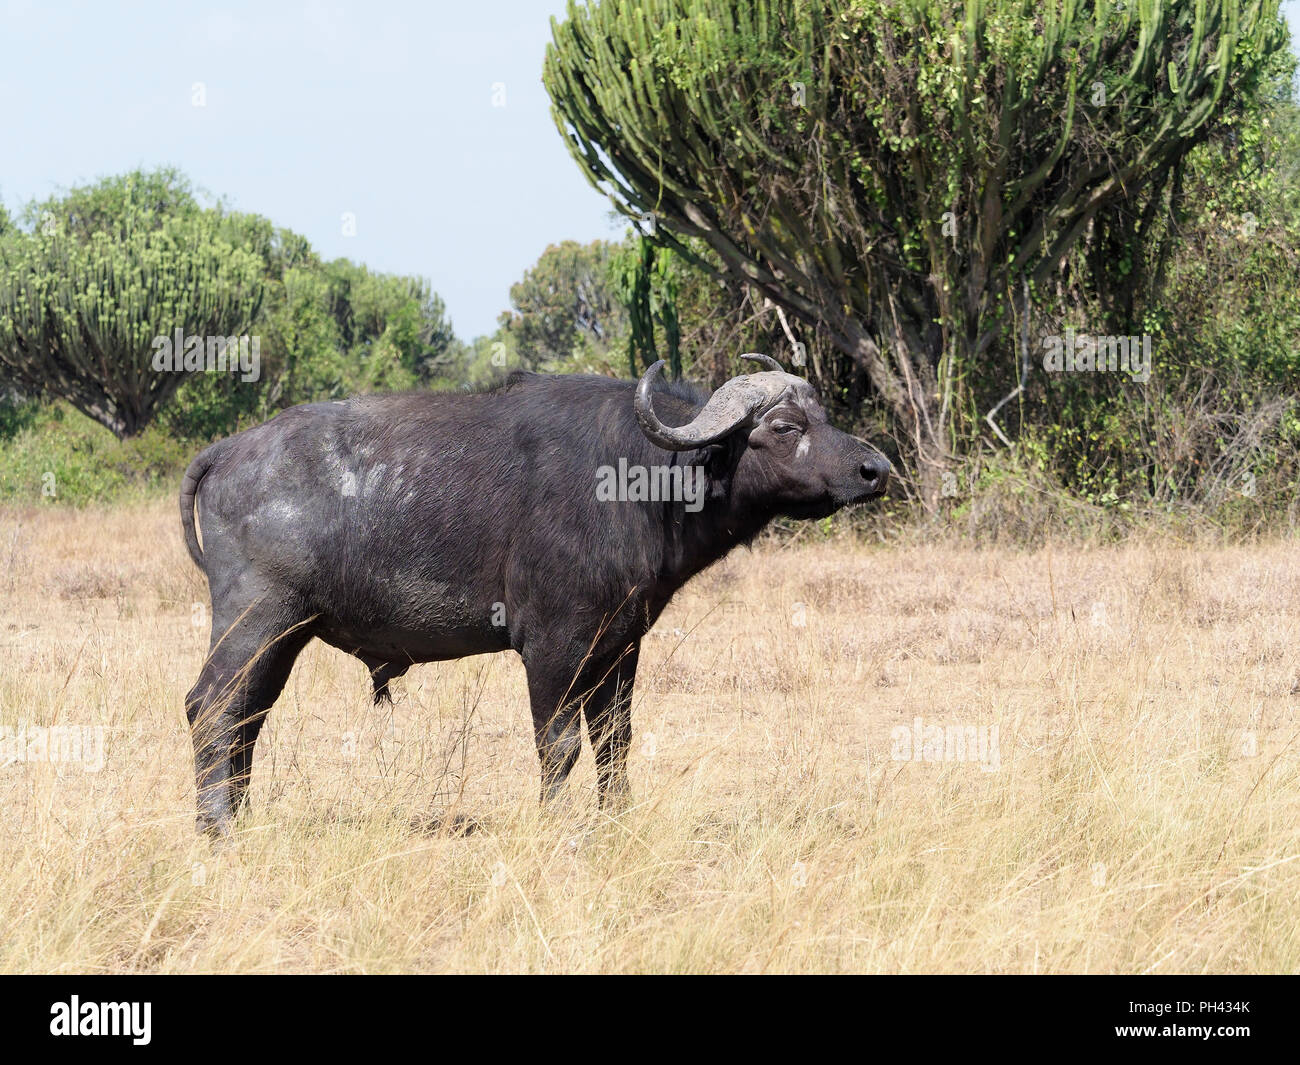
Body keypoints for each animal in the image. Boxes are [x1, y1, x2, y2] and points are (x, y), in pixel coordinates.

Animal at [180, 355, 889, 836]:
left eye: (823, 418)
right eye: (785, 425)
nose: (875, 469)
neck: (637, 480)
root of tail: (228, 449)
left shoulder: (619, 648)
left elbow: (613, 742)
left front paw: (614, 821)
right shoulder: (553, 645)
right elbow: (560, 745)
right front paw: (554, 827)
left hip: (283, 635)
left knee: (248, 716)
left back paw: (240, 816)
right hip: (255, 619)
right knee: (212, 707)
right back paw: (218, 828)